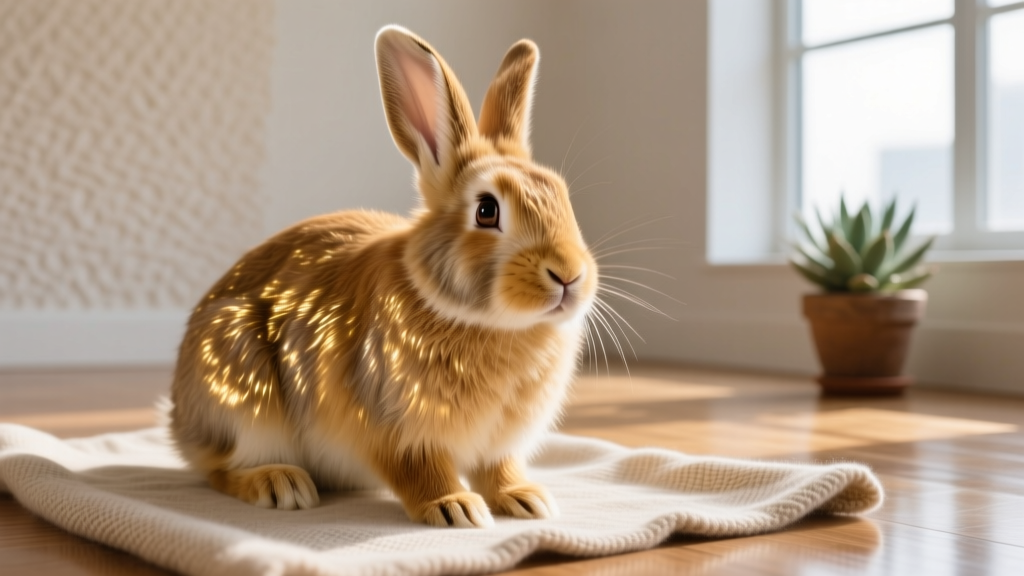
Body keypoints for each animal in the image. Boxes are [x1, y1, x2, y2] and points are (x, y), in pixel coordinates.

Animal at [169, 25, 597, 528]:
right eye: (487, 210)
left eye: (562, 196)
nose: (569, 275)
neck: (490, 324)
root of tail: (179, 419)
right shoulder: (395, 426)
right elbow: (419, 469)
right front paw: (454, 507)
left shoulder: (498, 444)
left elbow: (499, 469)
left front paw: (528, 499)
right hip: (240, 386)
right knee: (220, 469)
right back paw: (280, 484)